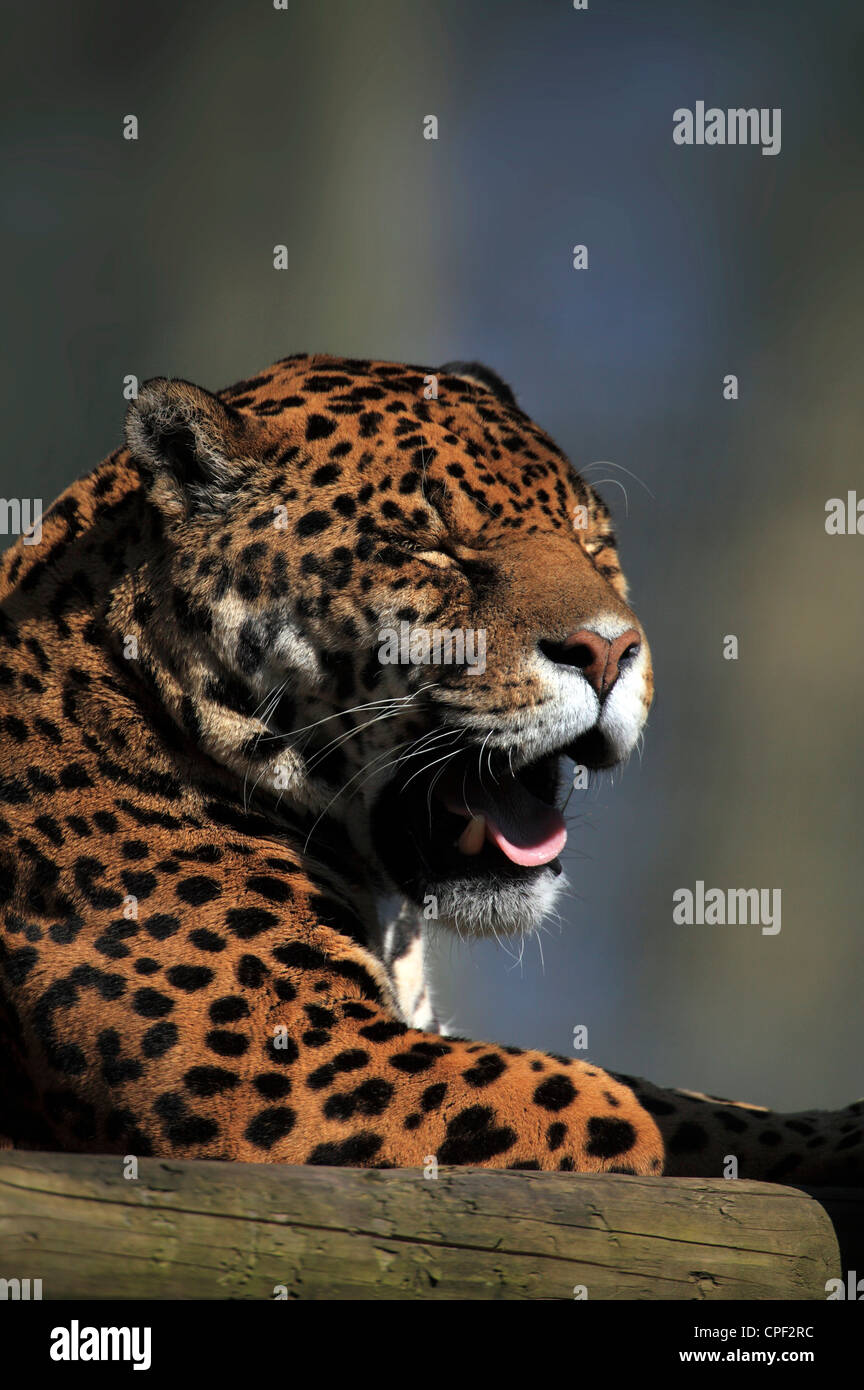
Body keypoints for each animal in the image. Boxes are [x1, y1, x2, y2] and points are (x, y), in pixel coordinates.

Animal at [0, 352, 860, 1182]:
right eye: (431, 549)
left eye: (592, 544)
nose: (611, 650)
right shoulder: (292, 1060)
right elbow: (606, 1101)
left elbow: (688, 1105)